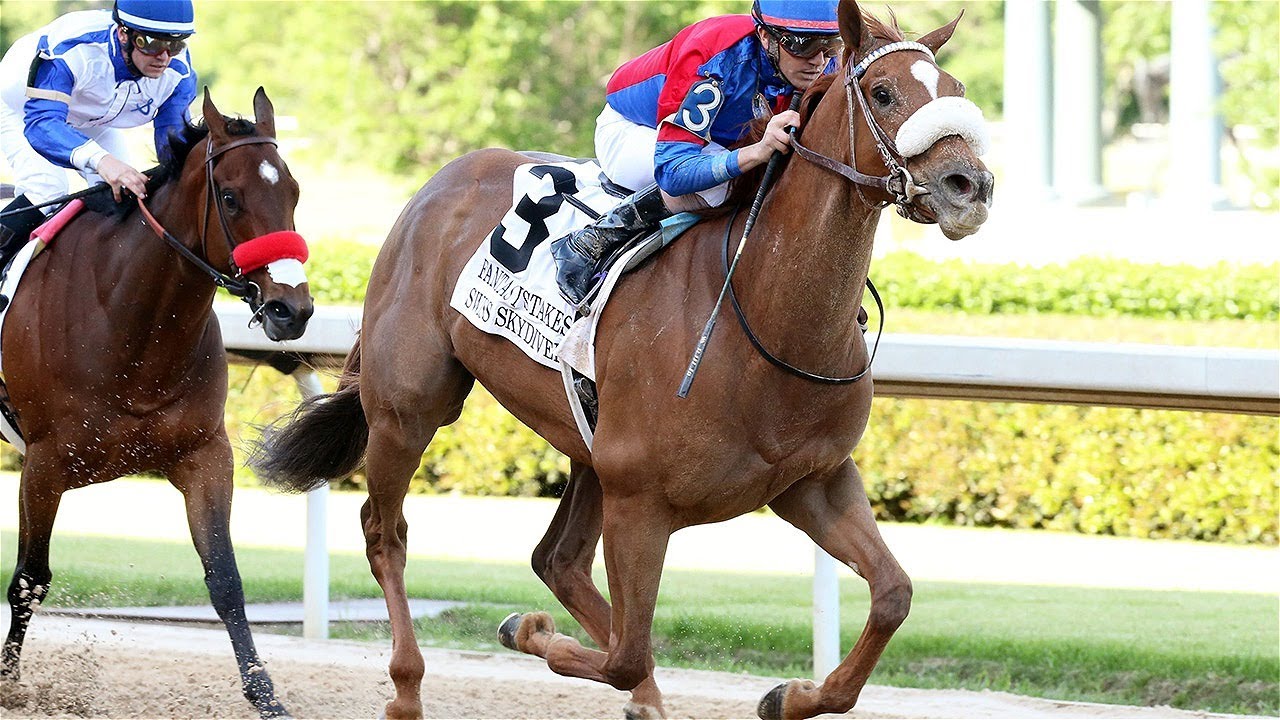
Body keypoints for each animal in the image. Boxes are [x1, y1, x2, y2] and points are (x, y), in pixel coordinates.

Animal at [1, 89, 312, 718]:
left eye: (293, 191)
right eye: (230, 197)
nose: (292, 310)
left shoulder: (204, 456)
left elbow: (225, 579)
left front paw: (266, 694)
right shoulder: (44, 464)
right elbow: (29, 578)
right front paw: (7, 681)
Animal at [251, 1, 992, 718]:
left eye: (955, 90)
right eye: (884, 91)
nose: (970, 185)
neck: (765, 314)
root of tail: (440, 183)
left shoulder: (812, 481)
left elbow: (893, 594)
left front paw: (792, 695)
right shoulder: (641, 500)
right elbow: (626, 655)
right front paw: (531, 631)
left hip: (586, 442)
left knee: (557, 561)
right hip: (409, 407)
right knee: (387, 532)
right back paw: (409, 686)